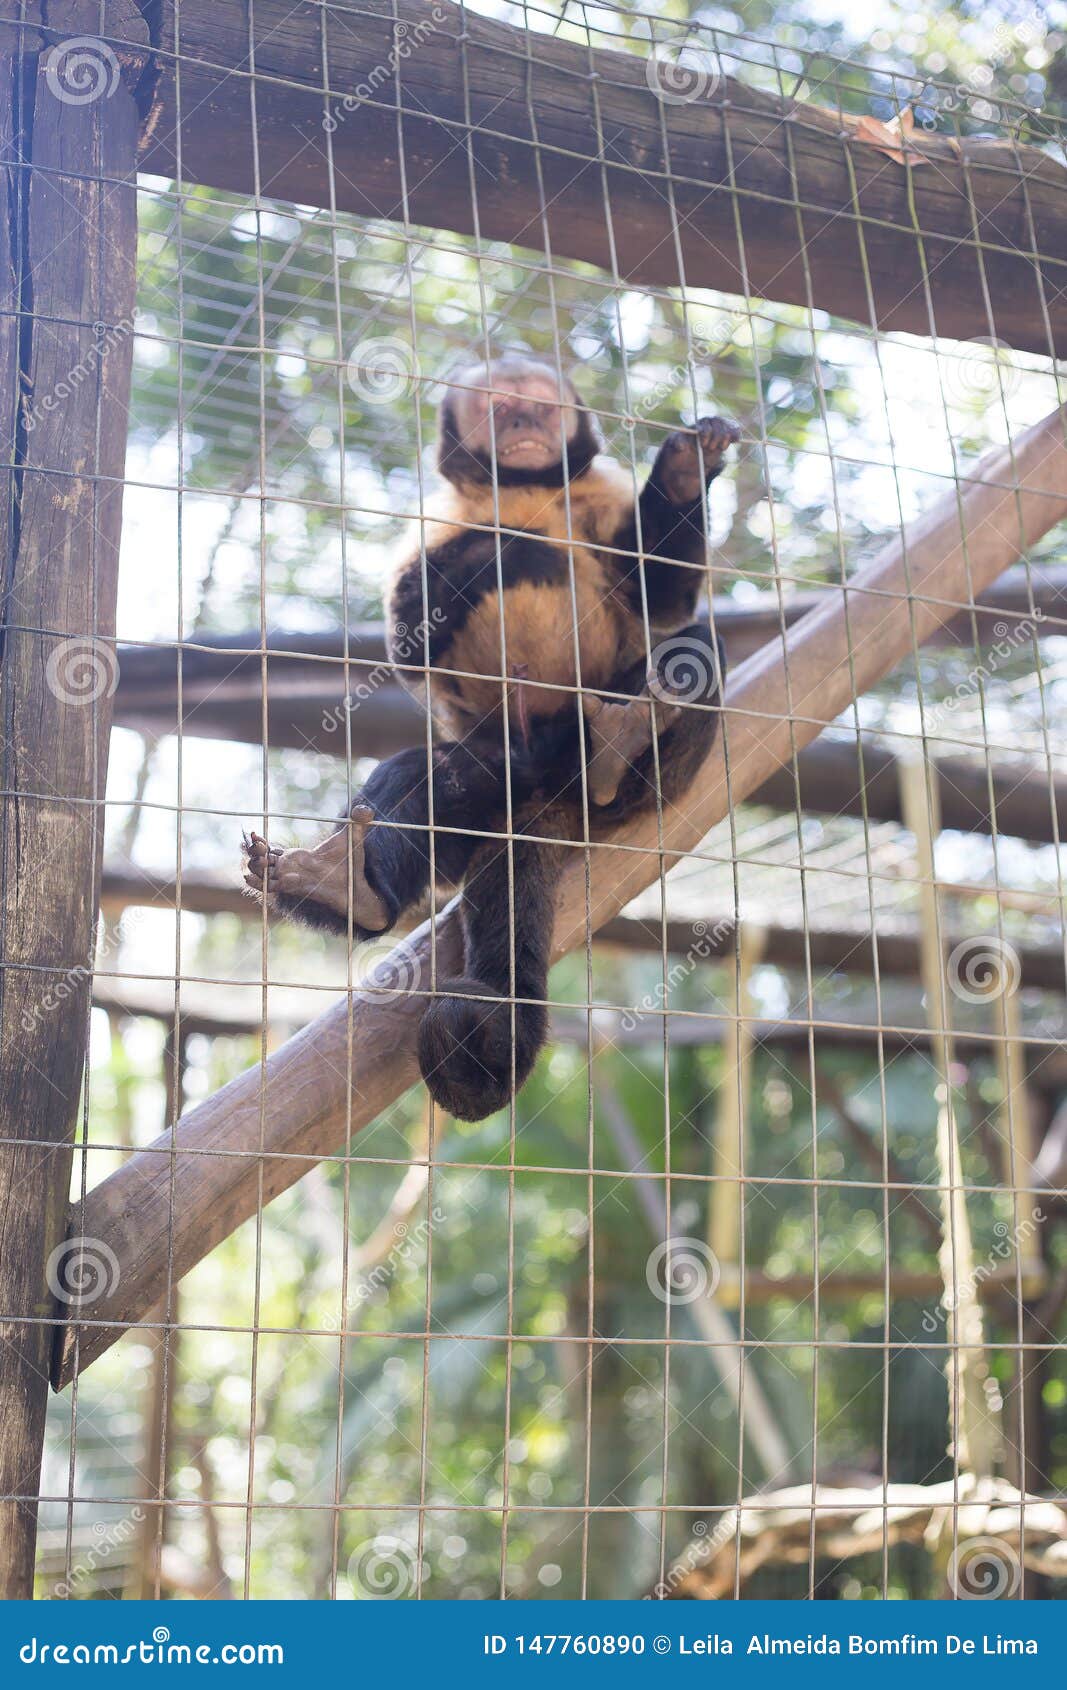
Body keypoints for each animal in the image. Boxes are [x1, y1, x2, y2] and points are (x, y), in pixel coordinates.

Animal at [243, 356, 738, 1122]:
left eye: (538, 406)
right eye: (501, 409)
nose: (526, 426)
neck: (525, 490)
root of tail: (545, 803)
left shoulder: (596, 492)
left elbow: (662, 599)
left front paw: (685, 469)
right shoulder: (435, 521)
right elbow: (410, 642)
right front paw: (503, 554)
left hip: (641, 777)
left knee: (692, 645)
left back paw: (618, 746)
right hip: (489, 795)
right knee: (434, 774)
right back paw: (344, 886)